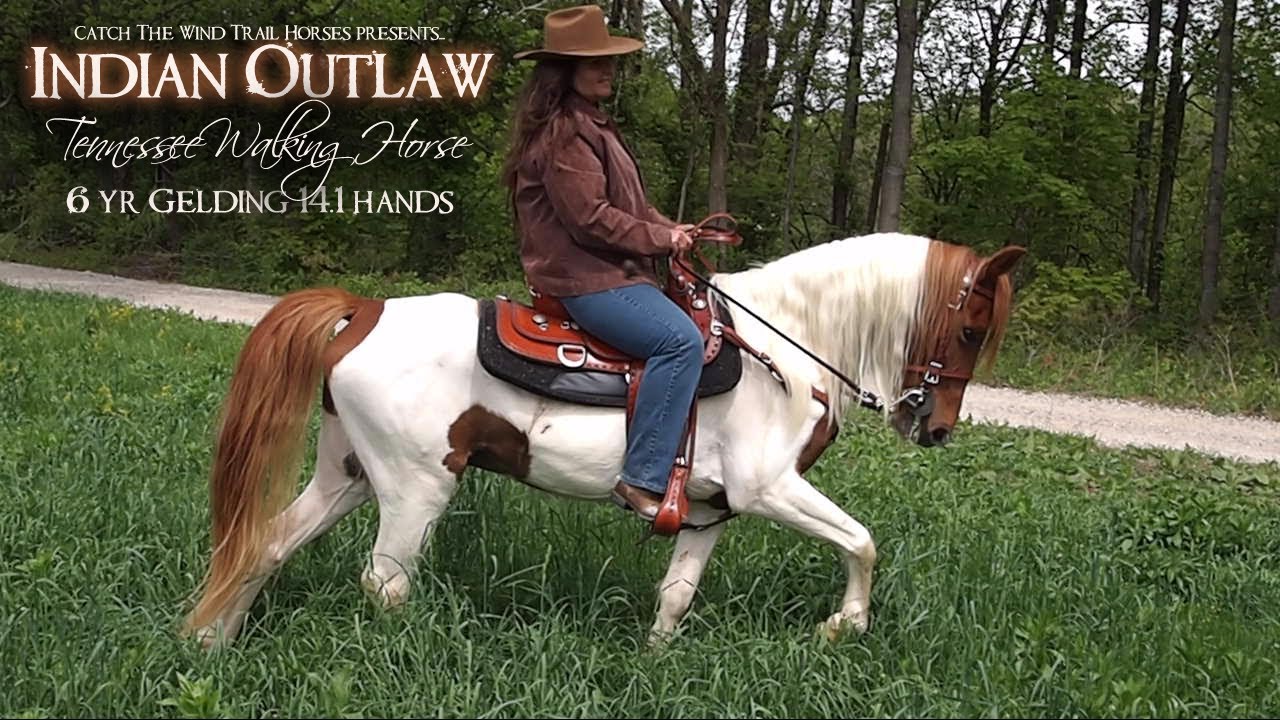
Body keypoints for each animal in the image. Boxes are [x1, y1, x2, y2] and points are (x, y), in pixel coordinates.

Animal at [180, 231, 1025, 648]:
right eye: (972, 326)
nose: (936, 427)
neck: (783, 349)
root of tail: (364, 310)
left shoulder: (712, 510)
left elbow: (677, 595)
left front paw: (655, 665)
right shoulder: (772, 489)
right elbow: (862, 541)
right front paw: (843, 625)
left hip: (348, 473)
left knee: (265, 543)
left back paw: (212, 641)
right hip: (416, 488)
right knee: (385, 585)